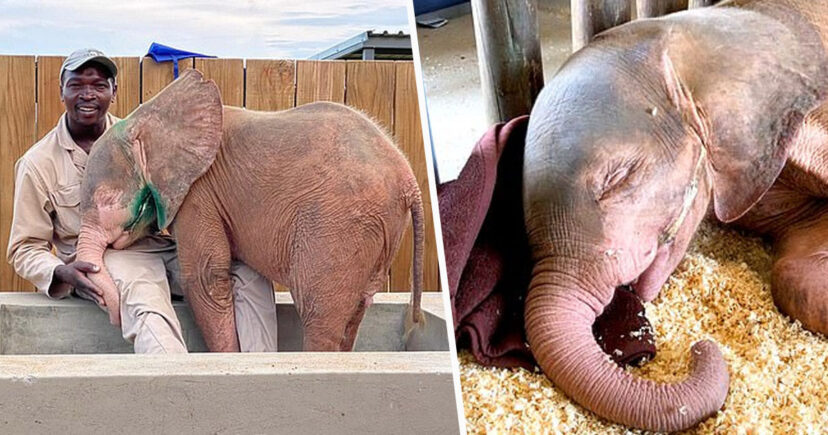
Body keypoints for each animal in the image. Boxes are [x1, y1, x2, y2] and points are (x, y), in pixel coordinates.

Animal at [75, 69, 424, 352]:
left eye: (105, 200)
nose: (110, 311)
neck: (147, 118)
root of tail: (410, 181)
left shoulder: (199, 192)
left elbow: (205, 277)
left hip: (339, 224)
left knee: (318, 310)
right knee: (357, 308)